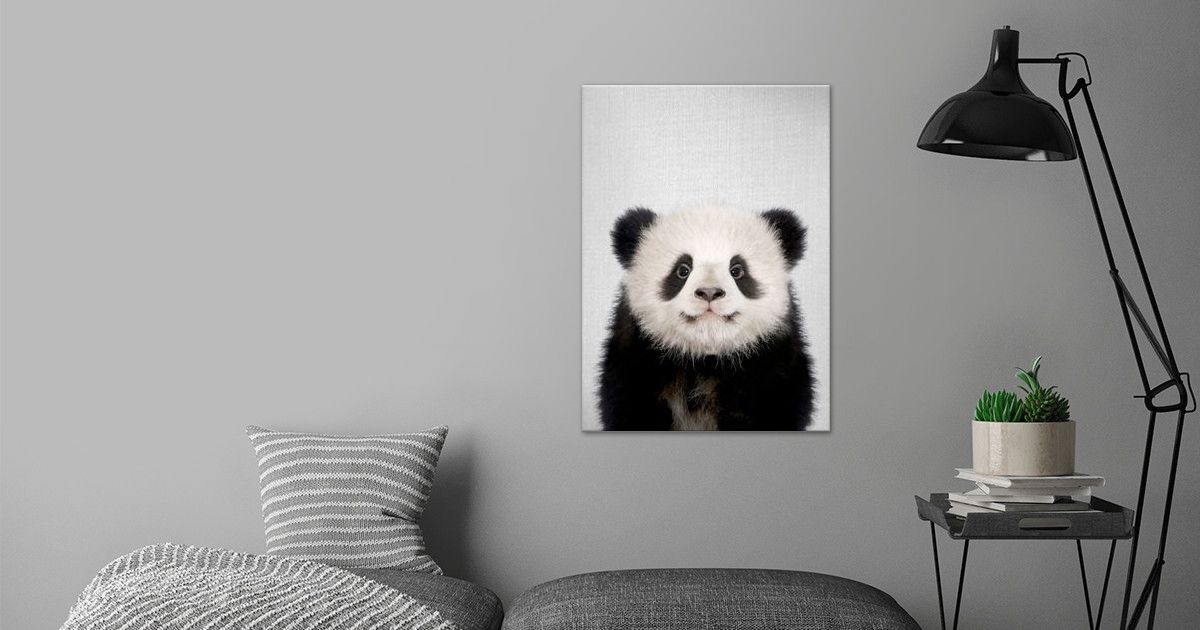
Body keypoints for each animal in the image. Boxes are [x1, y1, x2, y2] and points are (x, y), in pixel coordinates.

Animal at [597, 205, 814, 431]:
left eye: (737, 270)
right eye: (682, 270)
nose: (709, 292)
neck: (705, 360)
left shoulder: (773, 365)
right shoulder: (636, 362)